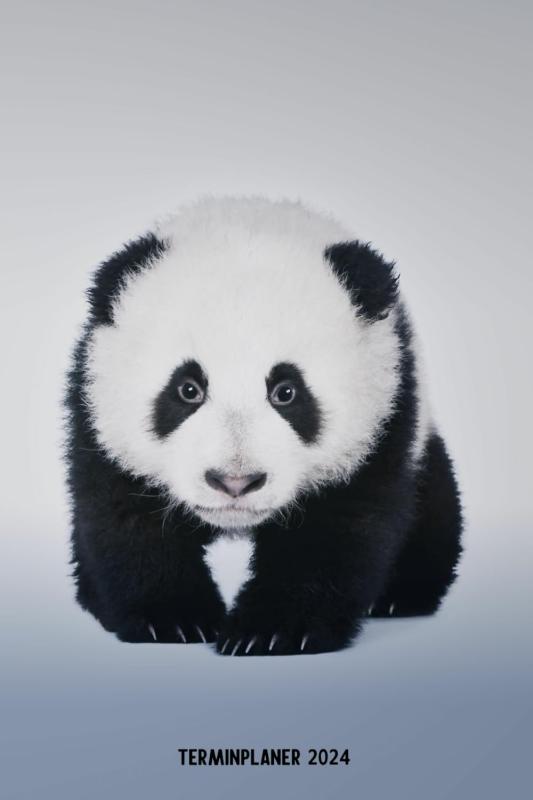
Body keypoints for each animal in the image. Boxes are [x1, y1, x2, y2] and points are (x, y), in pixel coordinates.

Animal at [65, 196, 463, 656]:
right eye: (187, 389)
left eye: (286, 392)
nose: (234, 482)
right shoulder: (98, 414)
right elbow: (126, 516)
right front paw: (172, 619)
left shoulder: (385, 419)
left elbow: (339, 525)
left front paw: (272, 630)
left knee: (432, 502)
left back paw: (402, 596)